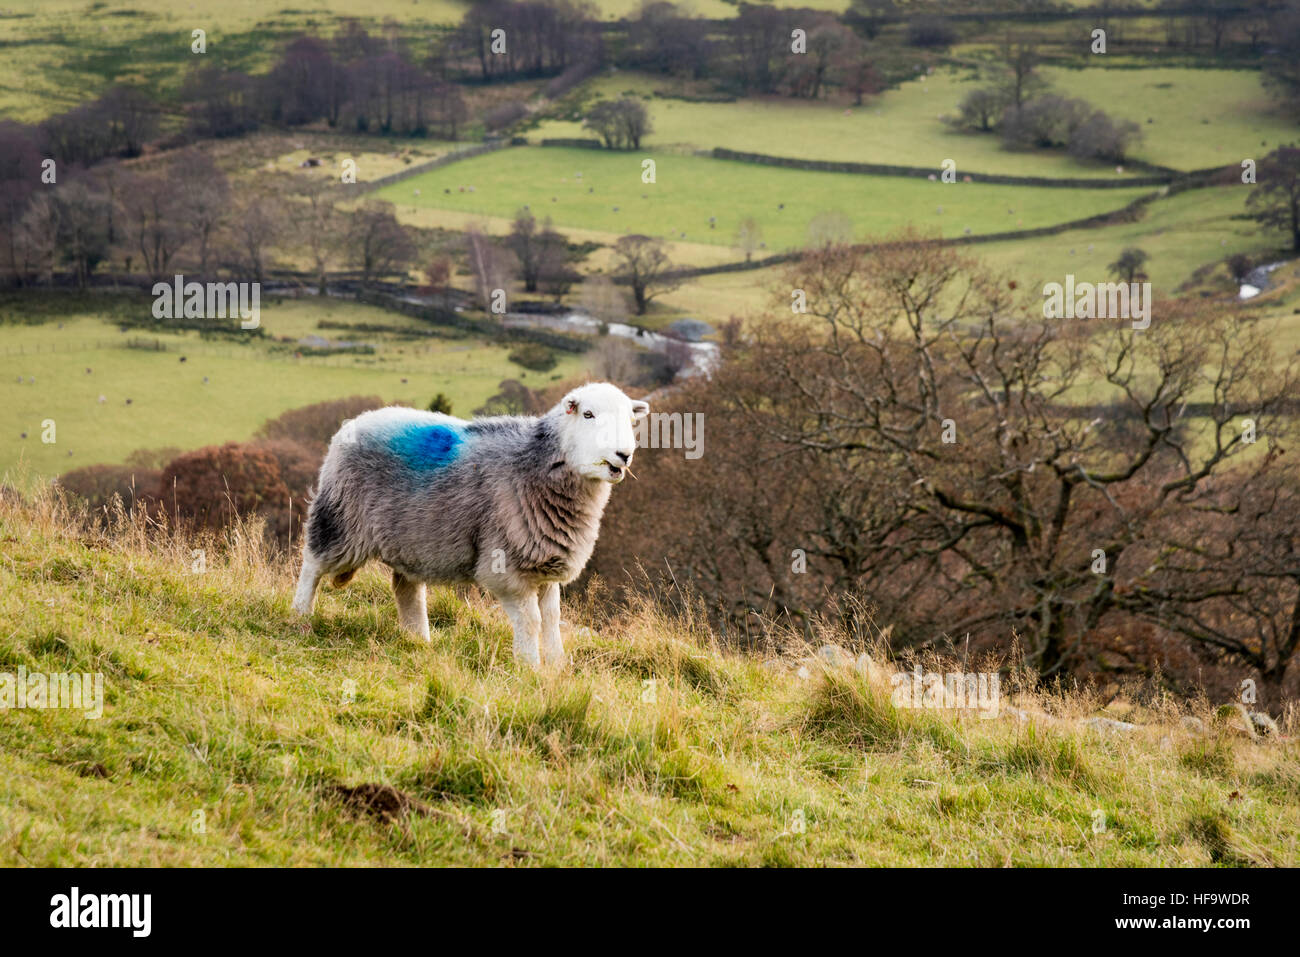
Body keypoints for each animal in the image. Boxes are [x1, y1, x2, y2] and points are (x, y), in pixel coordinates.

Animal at [291, 382, 650, 667]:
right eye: (588, 414)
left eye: (632, 421)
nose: (624, 455)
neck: (539, 464)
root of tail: (354, 422)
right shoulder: (507, 566)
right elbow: (531, 621)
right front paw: (531, 668)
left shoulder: (545, 561)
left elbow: (551, 619)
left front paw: (557, 667)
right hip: (341, 518)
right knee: (312, 565)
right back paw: (300, 616)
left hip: (411, 537)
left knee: (406, 588)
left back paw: (418, 640)